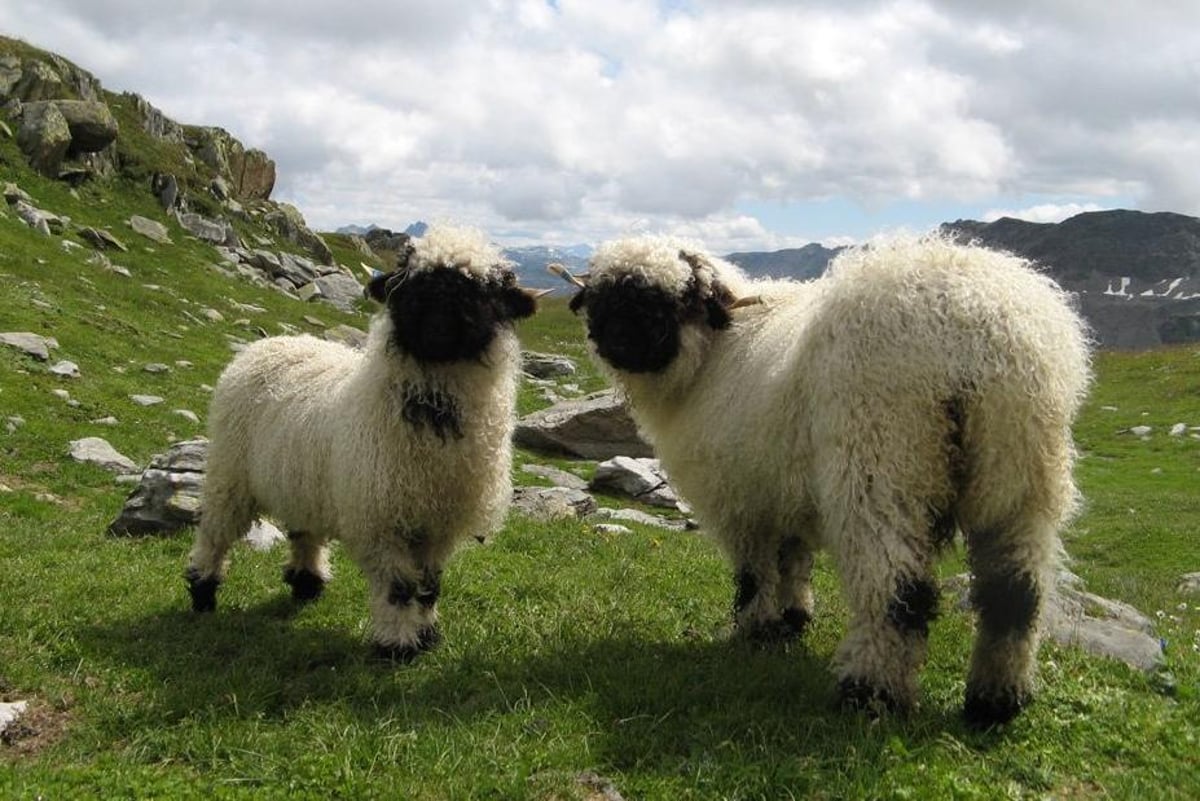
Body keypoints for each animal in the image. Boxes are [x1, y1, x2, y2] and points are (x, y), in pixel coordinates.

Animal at [186, 224, 540, 660]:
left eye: (482, 291)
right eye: (411, 283)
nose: (437, 318)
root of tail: (269, 343)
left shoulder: (438, 524)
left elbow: (430, 584)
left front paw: (427, 635)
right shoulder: (380, 518)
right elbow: (400, 586)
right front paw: (398, 645)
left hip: (305, 482)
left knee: (304, 532)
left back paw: (307, 583)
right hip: (230, 475)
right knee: (215, 533)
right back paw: (203, 592)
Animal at [561, 233, 1091, 727]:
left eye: (669, 300)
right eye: (602, 298)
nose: (618, 339)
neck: (712, 357)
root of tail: (976, 324)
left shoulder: (740, 499)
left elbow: (755, 572)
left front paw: (754, 631)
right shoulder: (783, 490)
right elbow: (793, 560)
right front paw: (793, 619)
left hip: (882, 462)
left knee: (898, 592)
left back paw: (871, 694)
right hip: (1021, 471)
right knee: (1016, 594)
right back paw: (995, 702)